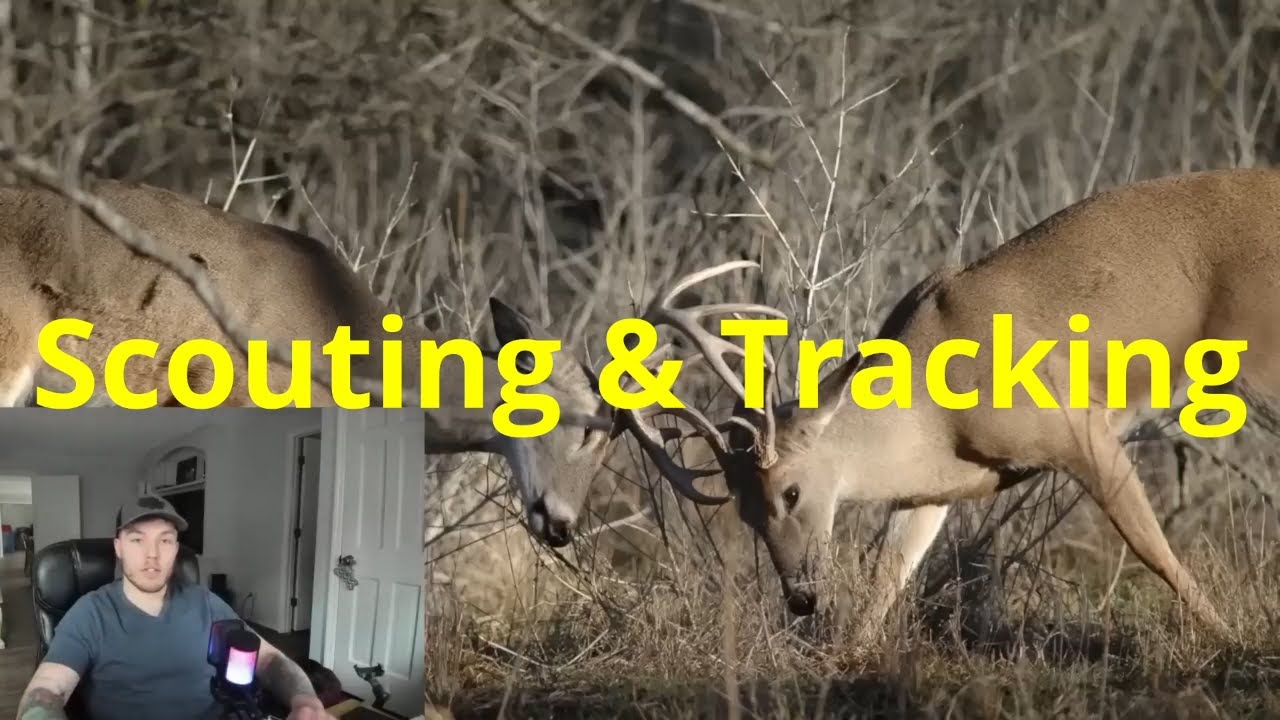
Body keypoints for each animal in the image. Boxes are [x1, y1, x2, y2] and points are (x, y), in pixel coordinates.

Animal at [603, 166, 1280, 645]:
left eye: (791, 492)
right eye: (743, 511)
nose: (800, 598)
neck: (932, 414)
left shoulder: (1077, 428)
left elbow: (1152, 547)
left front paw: (1230, 638)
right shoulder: (931, 489)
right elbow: (889, 575)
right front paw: (846, 656)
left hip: (1260, 363)